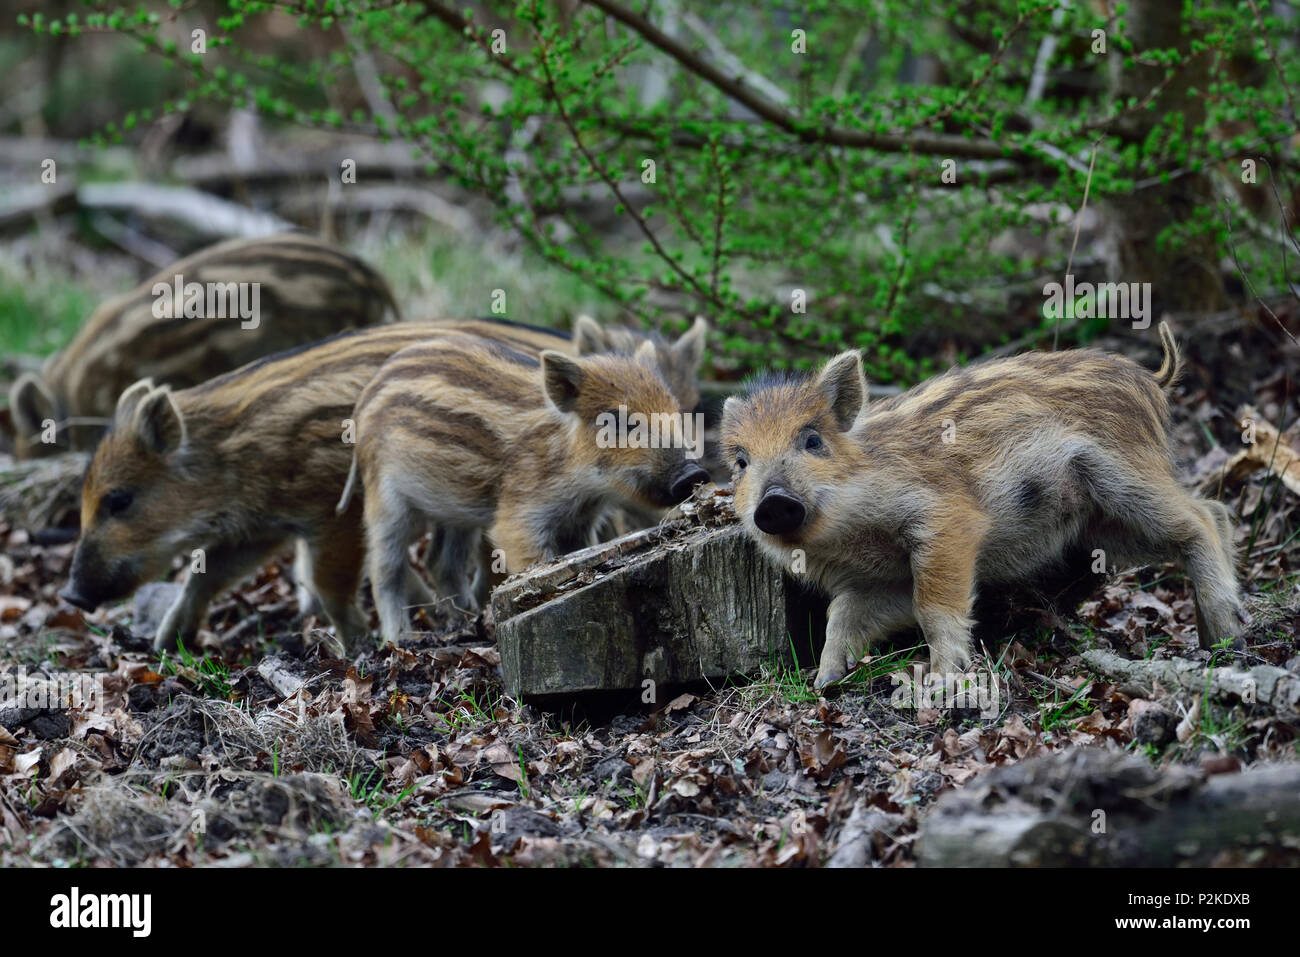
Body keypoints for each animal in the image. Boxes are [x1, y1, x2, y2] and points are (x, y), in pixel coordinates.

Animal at [347, 334, 710, 644]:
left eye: (675, 411)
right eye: (619, 420)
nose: (693, 473)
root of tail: (365, 397)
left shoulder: (579, 521)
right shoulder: (519, 515)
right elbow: (531, 560)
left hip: (454, 507)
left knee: (440, 561)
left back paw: (466, 621)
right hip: (384, 497)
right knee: (385, 568)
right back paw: (400, 639)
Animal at [721, 322, 1247, 688]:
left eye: (812, 440)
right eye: (741, 461)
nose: (773, 502)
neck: (851, 532)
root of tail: (1153, 381)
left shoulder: (947, 519)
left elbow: (934, 606)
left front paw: (941, 681)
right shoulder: (877, 579)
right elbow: (843, 617)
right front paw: (825, 681)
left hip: (1128, 478)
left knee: (1200, 519)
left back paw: (1230, 635)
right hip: (1105, 528)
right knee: (1215, 515)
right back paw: (1215, 642)